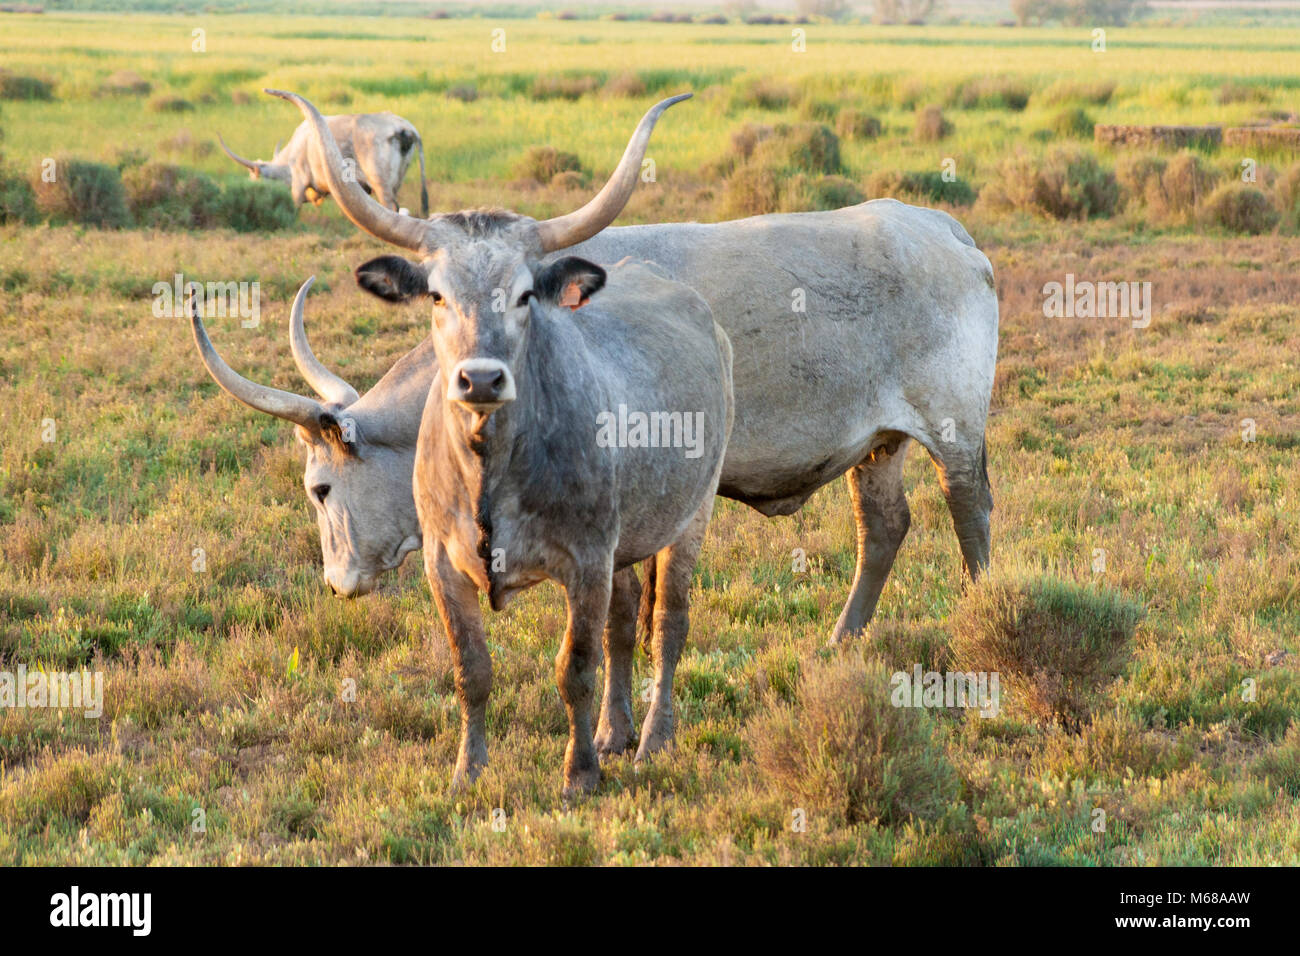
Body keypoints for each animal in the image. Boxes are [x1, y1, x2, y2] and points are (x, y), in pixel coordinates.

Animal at [218, 111, 428, 217]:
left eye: (257, 181)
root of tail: (403, 126)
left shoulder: (299, 179)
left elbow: (295, 204)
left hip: (380, 183)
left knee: (390, 208)